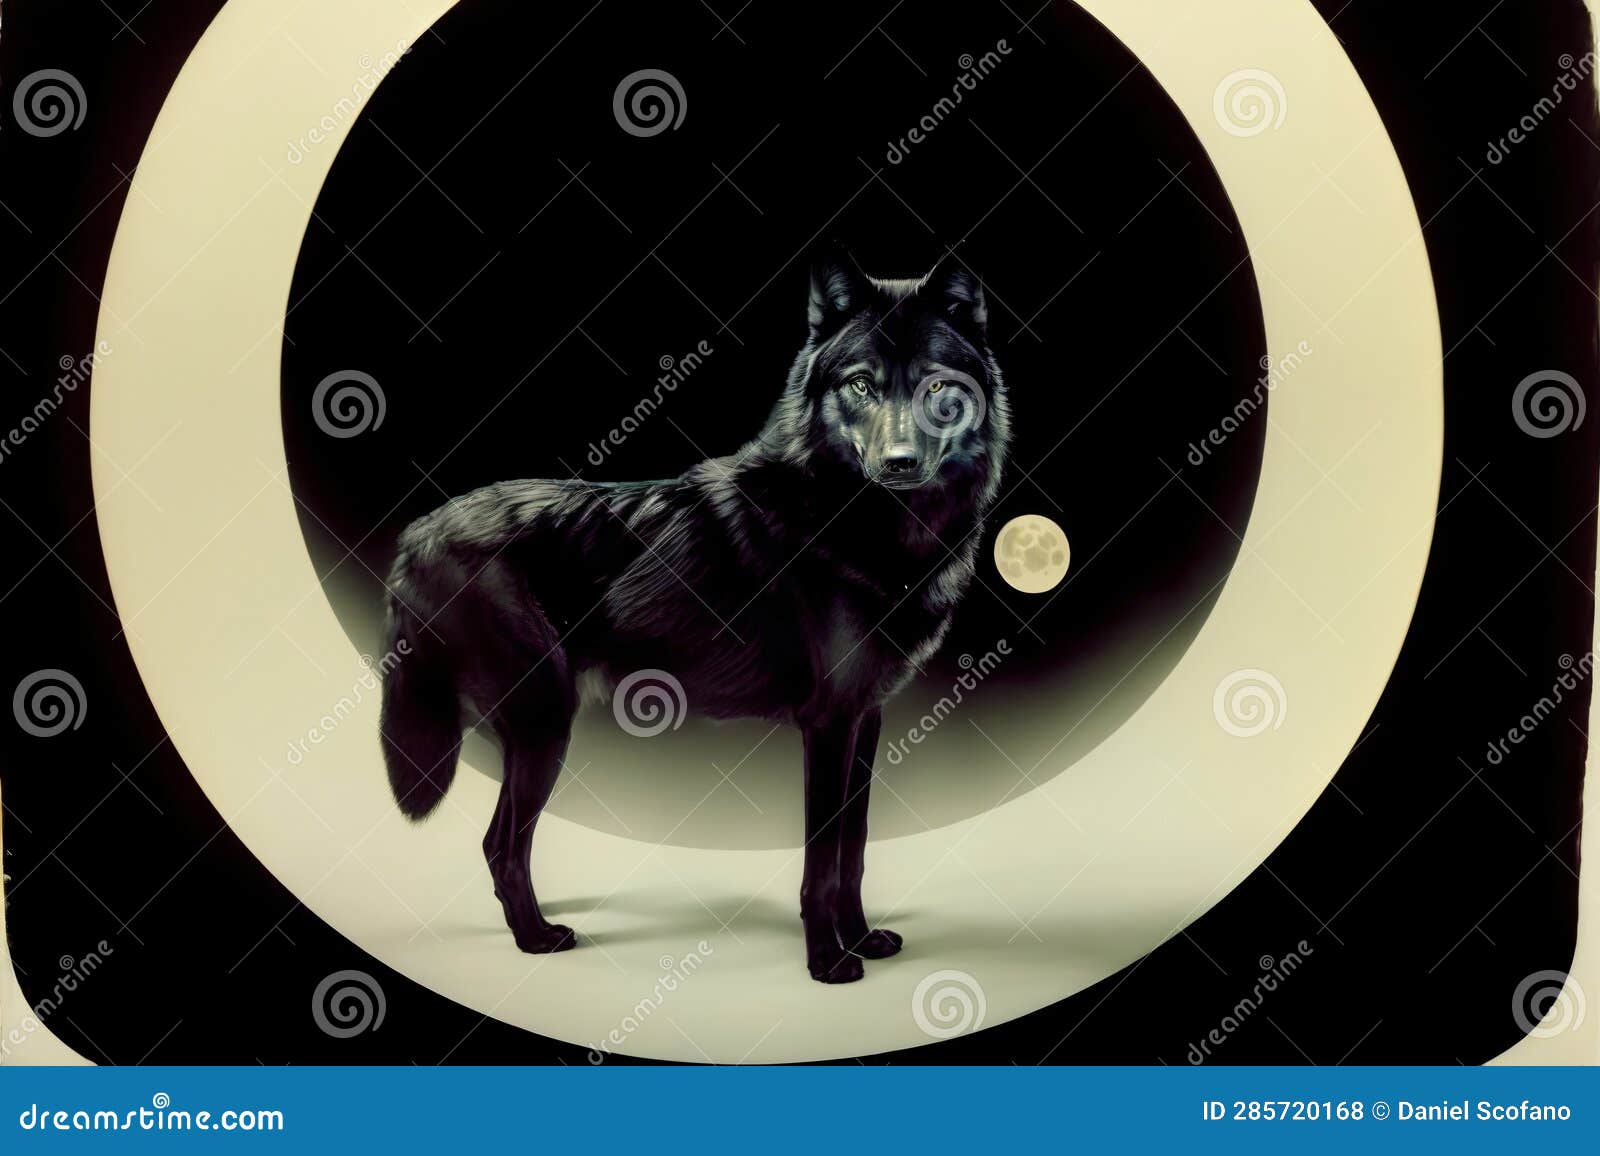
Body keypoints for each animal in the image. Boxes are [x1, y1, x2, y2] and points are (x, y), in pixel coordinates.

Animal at [379, 251, 1011, 982]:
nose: (898, 463)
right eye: (860, 384)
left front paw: (860, 942)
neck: (865, 526)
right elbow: (824, 863)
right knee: (502, 844)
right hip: (544, 727)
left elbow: (853, 851)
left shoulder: (867, 718)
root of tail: (413, 537)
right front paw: (828, 964)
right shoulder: (828, 724)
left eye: (937, 386)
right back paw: (537, 940)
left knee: (496, 843)